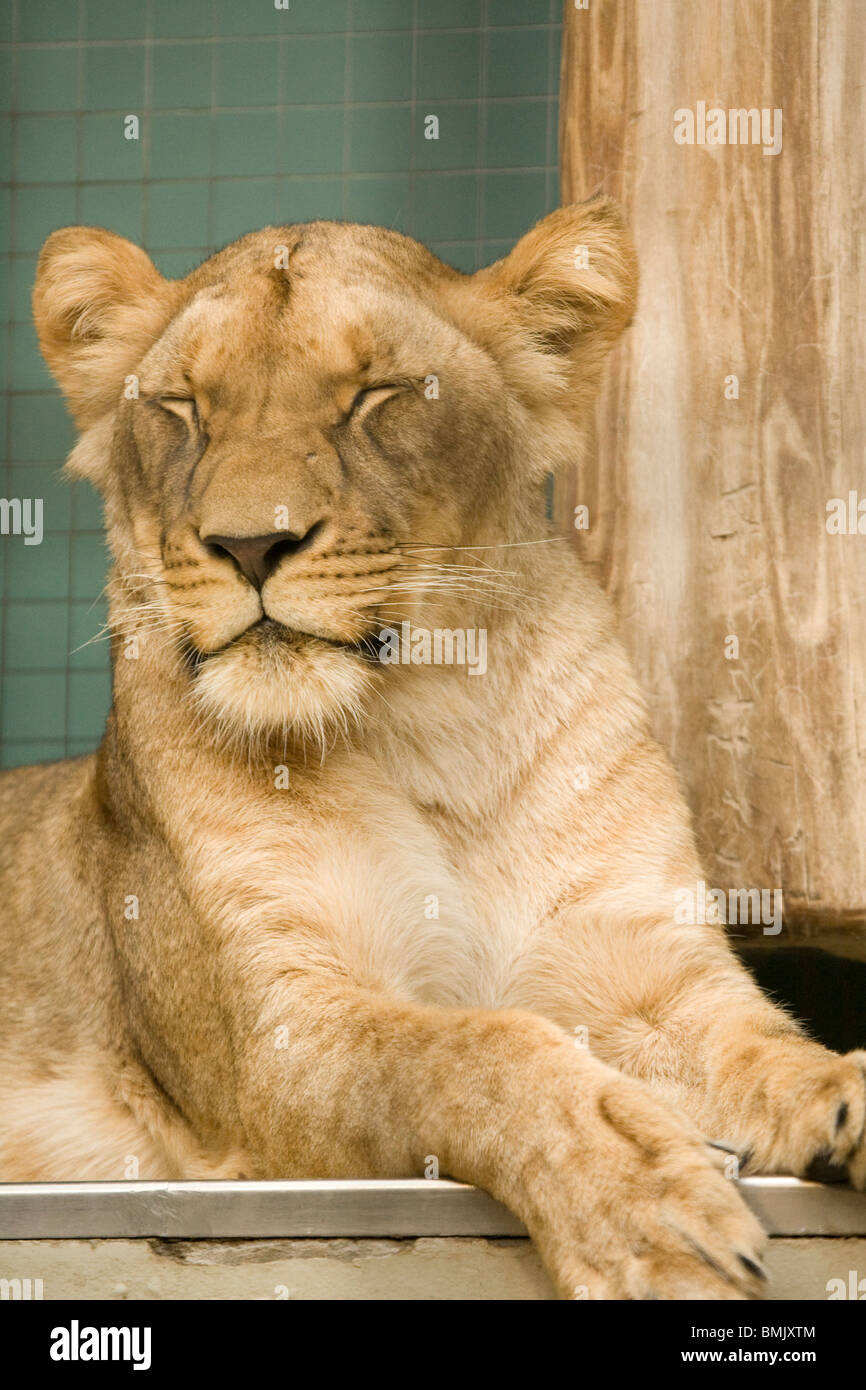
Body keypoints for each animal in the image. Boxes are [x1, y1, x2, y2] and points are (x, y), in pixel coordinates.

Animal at [1, 200, 864, 1301]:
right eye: (183, 408)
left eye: (377, 396)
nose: (248, 546)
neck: (429, 725)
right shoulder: (271, 1044)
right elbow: (474, 1051)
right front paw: (646, 1208)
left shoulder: (641, 972)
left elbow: (762, 1047)